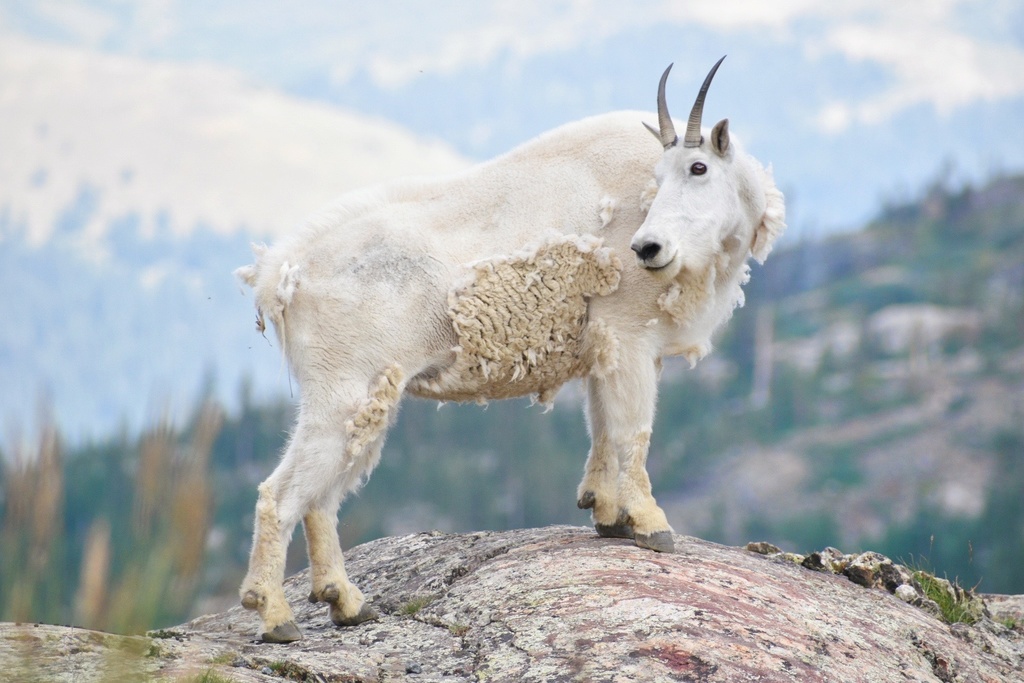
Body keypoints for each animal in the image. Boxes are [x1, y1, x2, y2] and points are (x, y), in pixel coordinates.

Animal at [235, 57, 786, 642]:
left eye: (698, 168)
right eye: (658, 179)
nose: (648, 248)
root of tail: (280, 276)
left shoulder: (604, 347)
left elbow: (602, 426)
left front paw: (606, 513)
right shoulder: (630, 336)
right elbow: (633, 431)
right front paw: (651, 525)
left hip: (366, 394)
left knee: (323, 496)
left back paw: (345, 602)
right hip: (343, 386)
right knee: (282, 494)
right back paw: (276, 614)